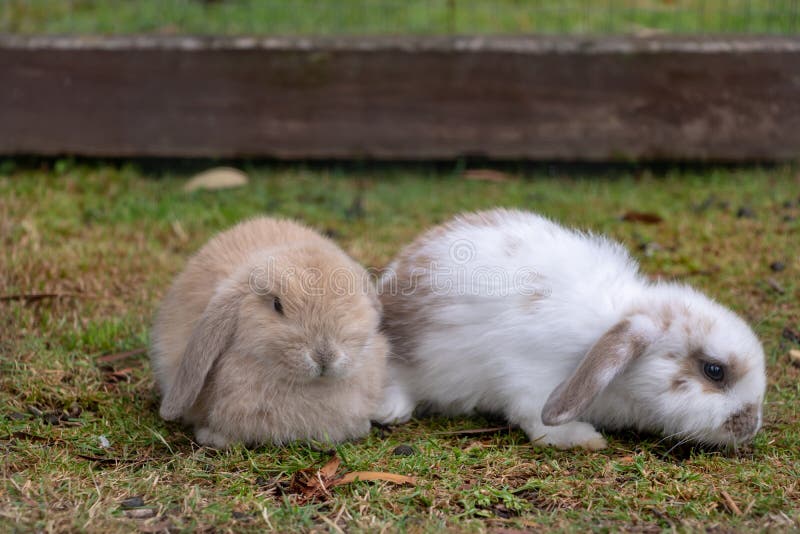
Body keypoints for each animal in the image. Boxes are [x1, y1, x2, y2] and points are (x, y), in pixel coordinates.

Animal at [374, 209, 766, 450]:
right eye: (714, 370)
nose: (750, 426)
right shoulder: (528, 377)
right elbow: (538, 421)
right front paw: (585, 438)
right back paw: (392, 410)